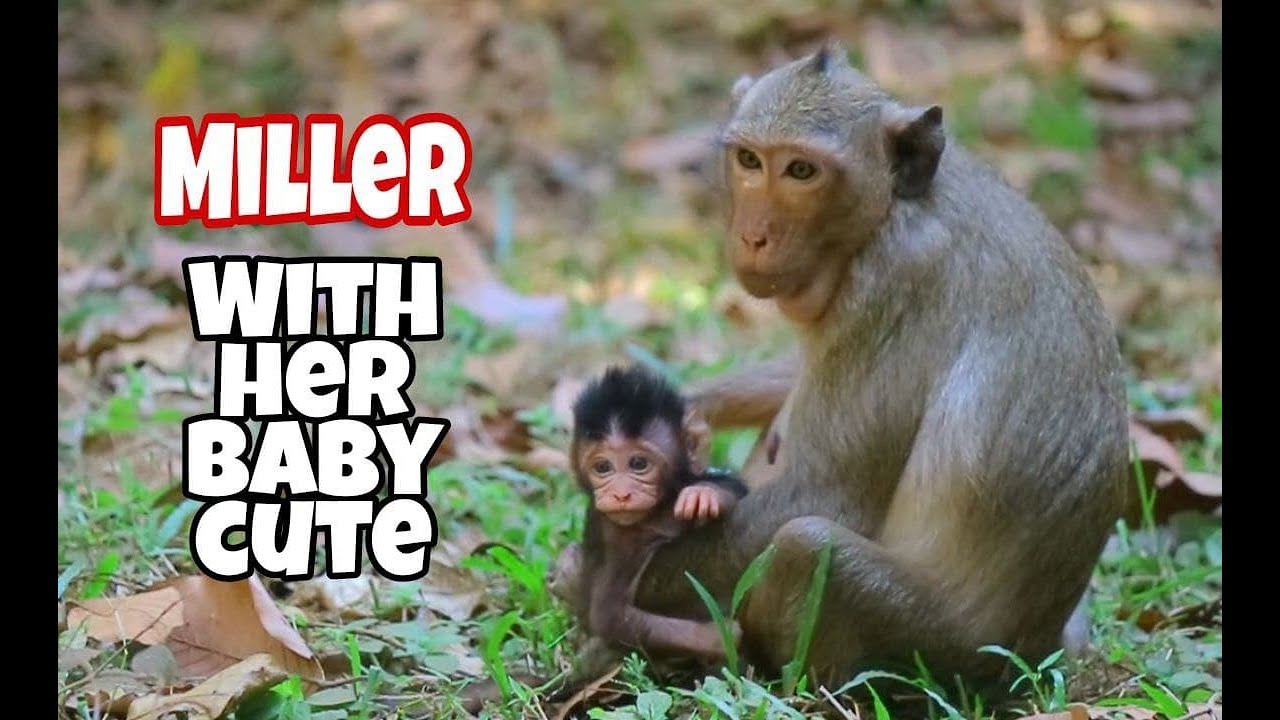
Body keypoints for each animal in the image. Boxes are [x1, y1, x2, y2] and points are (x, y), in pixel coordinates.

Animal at [557, 364, 749, 662]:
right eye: (603, 468)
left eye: (638, 463)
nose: (620, 494)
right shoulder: (614, 536)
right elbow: (610, 615)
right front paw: (720, 637)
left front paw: (704, 493)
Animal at [605, 41, 1130, 687]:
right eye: (750, 161)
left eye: (801, 171)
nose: (753, 236)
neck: (893, 209)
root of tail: (1037, 648)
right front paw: (688, 410)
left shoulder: (897, 281)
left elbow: (828, 495)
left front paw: (594, 577)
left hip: (935, 647)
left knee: (807, 546)